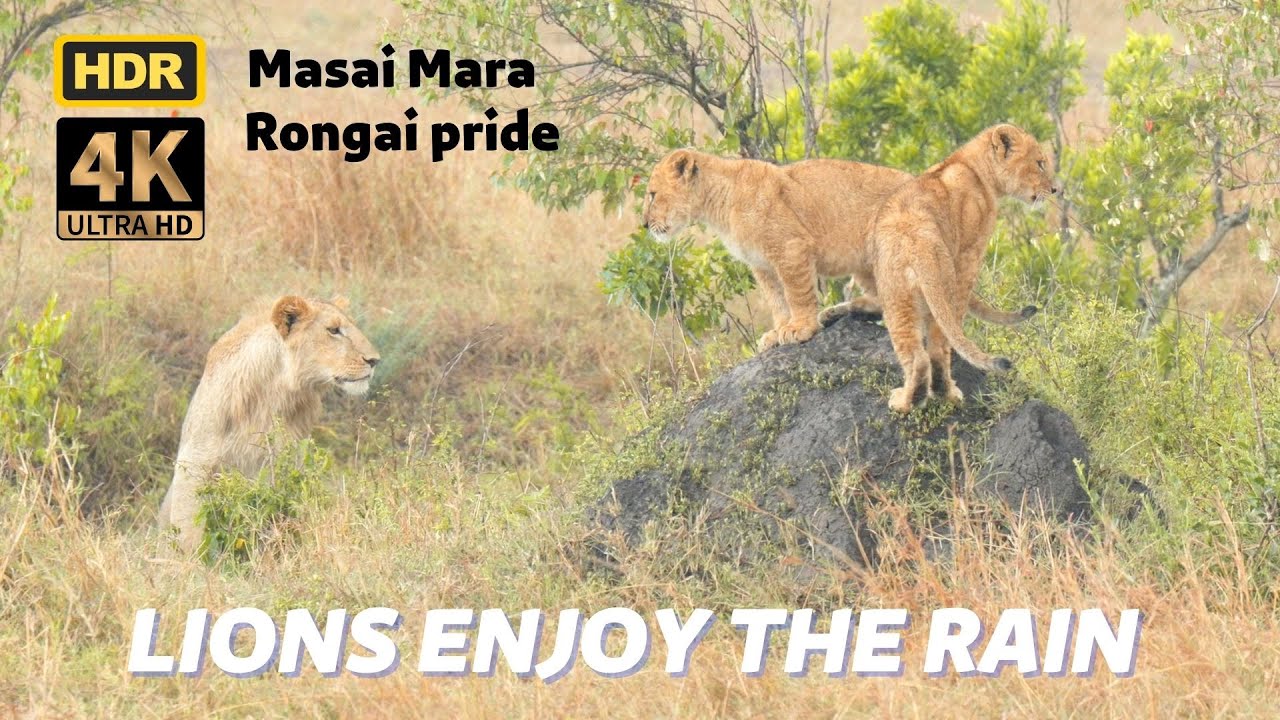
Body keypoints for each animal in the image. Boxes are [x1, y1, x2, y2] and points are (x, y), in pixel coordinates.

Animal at [158, 294, 381, 551]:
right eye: (333, 330)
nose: (375, 360)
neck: (275, 391)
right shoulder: (195, 462)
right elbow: (189, 529)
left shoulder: (288, 462)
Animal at [641, 149, 1035, 351]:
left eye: (652, 194)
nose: (644, 225)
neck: (717, 205)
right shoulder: (762, 265)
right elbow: (776, 300)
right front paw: (777, 332)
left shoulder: (791, 249)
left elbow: (797, 294)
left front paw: (801, 329)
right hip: (867, 263)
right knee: (881, 300)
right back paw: (841, 311)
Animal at [868, 123, 1057, 413]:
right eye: (1039, 163)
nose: (1055, 190)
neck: (972, 166)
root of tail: (915, 244)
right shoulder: (970, 253)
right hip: (943, 284)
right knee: (938, 346)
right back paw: (946, 394)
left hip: (895, 296)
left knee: (916, 354)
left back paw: (905, 401)